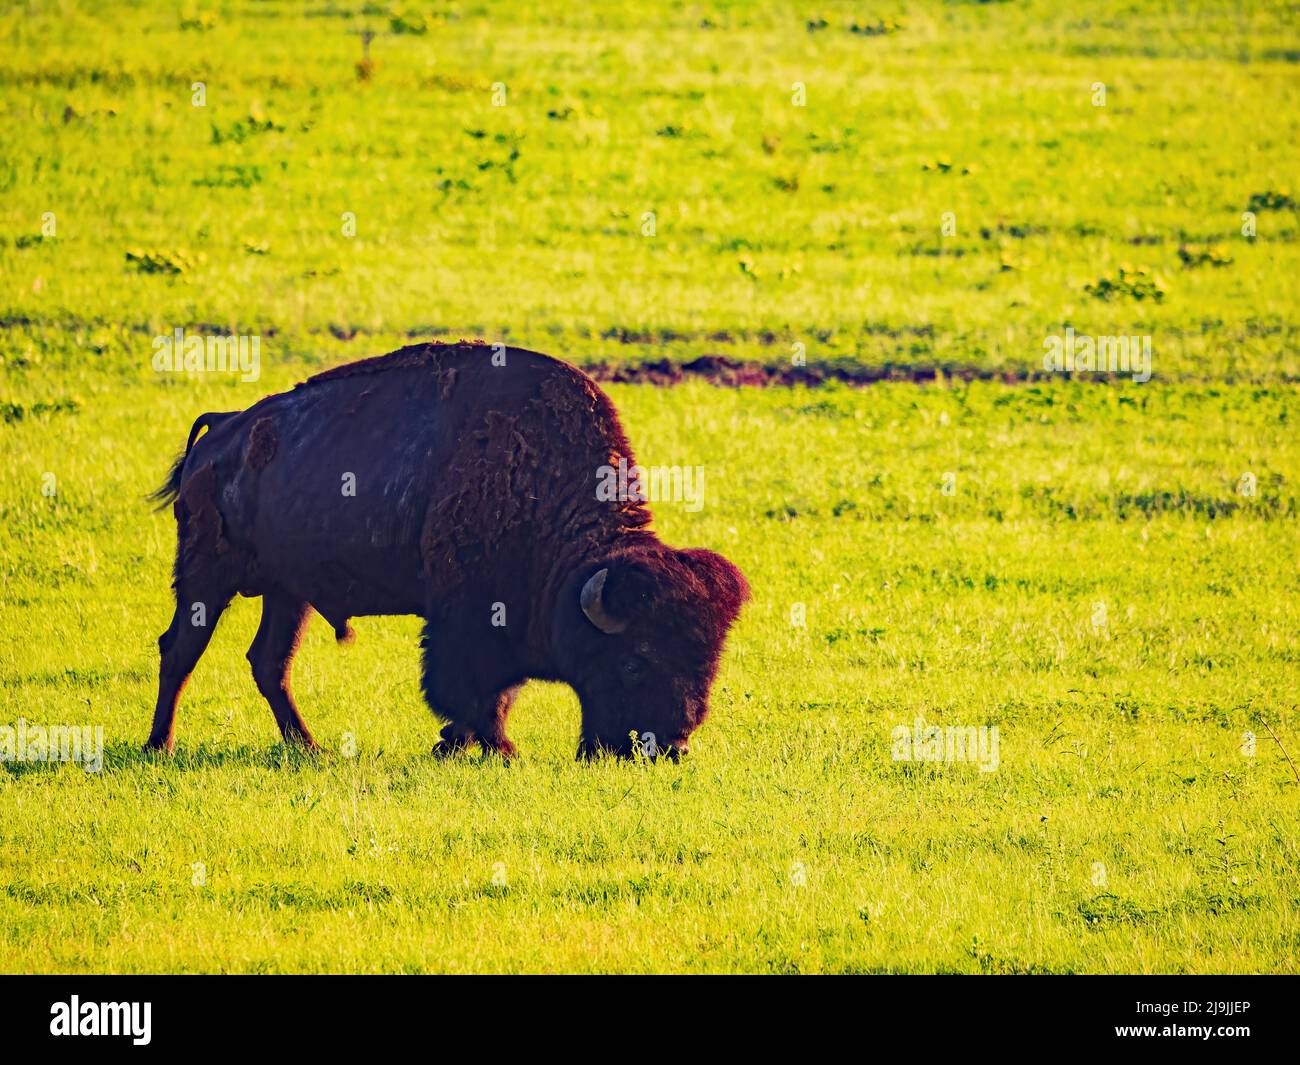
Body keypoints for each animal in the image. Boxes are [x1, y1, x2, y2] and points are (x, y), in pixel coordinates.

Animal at [146, 342, 749, 760]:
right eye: (632, 661)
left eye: (708, 663)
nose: (668, 748)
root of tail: (220, 434)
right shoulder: (466, 617)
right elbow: (472, 687)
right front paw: (495, 748)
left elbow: (496, 689)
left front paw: (459, 744)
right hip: (204, 576)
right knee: (180, 649)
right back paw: (161, 745)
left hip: (286, 592)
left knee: (269, 662)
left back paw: (309, 748)